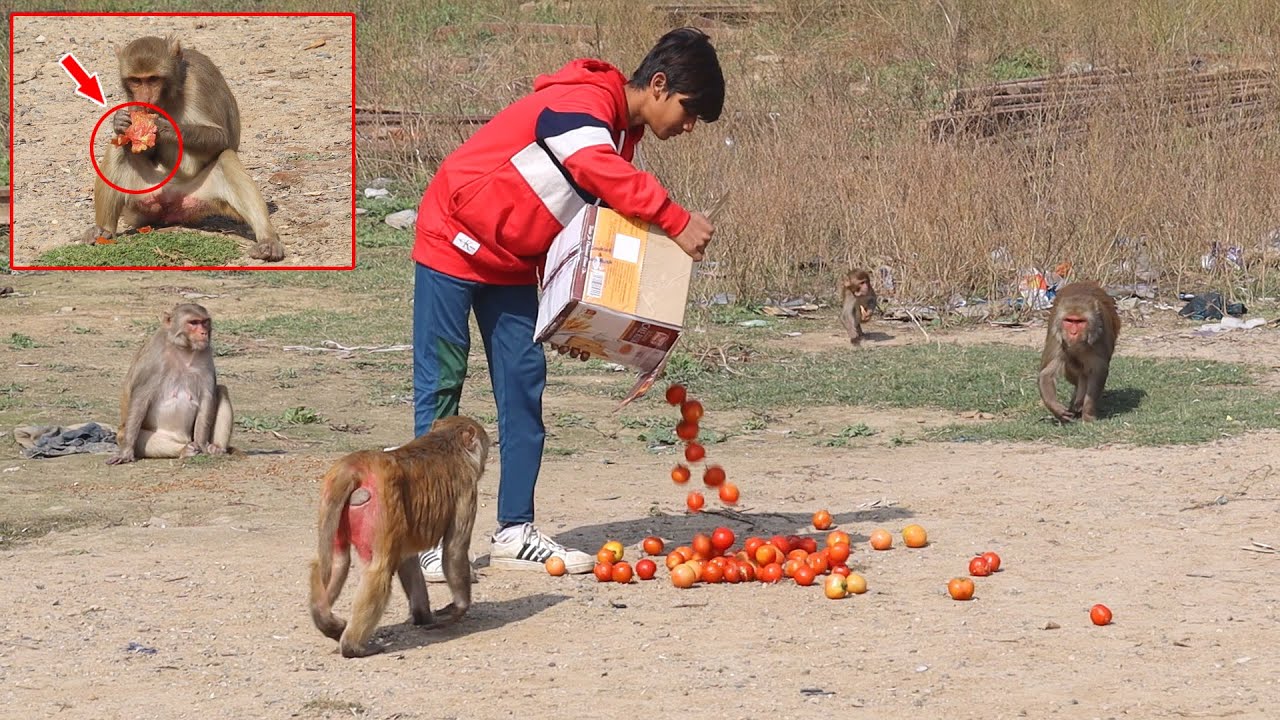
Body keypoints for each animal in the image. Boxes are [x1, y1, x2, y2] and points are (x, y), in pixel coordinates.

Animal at [79, 35, 284, 262]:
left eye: (153, 79)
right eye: (136, 81)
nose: (145, 98)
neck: (171, 92)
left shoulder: (198, 82)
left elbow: (222, 137)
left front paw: (163, 128)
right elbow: (133, 143)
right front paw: (120, 122)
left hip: (201, 196)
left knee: (226, 158)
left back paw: (267, 240)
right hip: (142, 197)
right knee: (119, 149)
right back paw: (103, 230)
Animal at [107, 303, 233, 465]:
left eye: (205, 322)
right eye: (193, 323)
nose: (204, 332)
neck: (183, 349)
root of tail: (183, 439)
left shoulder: (205, 354)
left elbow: (207, 397)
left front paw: (203, 444)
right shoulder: (154, 359)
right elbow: (140, 399)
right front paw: (126, 453)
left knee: (222, 390)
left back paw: (215, 448)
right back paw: (185, 450)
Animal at [309, 416, 492, 659]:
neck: (446, 443)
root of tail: (354, 467)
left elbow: (408, 559)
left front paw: (423, 615)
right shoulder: (466, 489)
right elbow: (454, 550)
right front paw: (459, 608)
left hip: (332, 502)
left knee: (336, 561)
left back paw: (327, 621)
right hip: (385, 501)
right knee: (379, 571)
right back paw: (353, 647)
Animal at [1038, 281, 1121, 422]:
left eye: (1080, 322)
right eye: (1069, 321)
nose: (1073, 333)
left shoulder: (1099, 338)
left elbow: (1098, 371)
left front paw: (1088, 413)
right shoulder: (1057, 339)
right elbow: (1046, 374)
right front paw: (1055, 408)